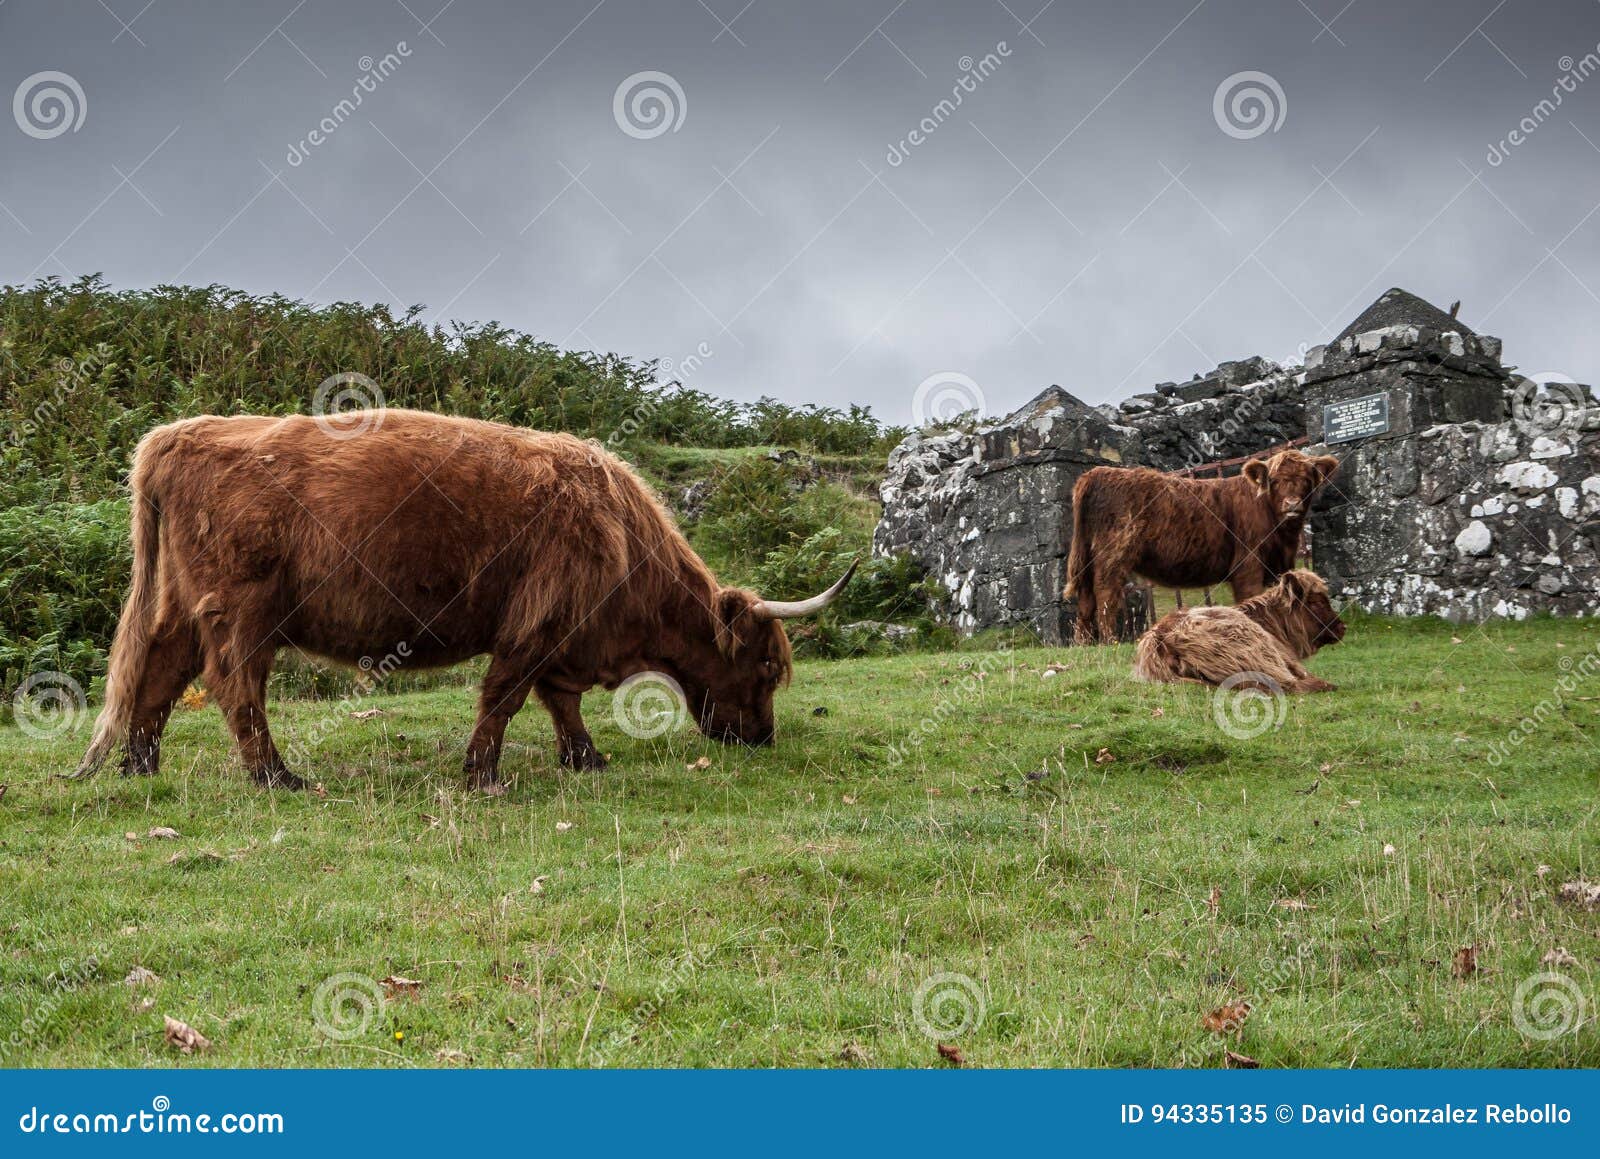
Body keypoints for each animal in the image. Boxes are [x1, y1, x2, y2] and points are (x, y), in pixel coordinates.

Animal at [72, 410, 855, 794]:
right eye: (764, 670)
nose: (762, 738)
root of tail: (181, 434)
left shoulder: (560, 634)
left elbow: (558, 700)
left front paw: (585, 759)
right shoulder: (538, 619)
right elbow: (506, 696)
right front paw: (484, 775)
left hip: (182, 600)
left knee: (161, 671)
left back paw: (139, 768)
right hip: (241, 607)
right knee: (235, 684)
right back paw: (276, 776)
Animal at [1064, 449, 1338, 644]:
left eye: (1305, 479)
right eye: (1275, 480)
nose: (1292, 504)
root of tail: (1097, 473)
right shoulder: (1248, 565)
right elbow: (1251, 598)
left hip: (1089, 556)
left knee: (1086, 596)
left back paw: (1084, 644)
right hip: (1113, 554)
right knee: (1104, 592)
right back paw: (1110, 641)